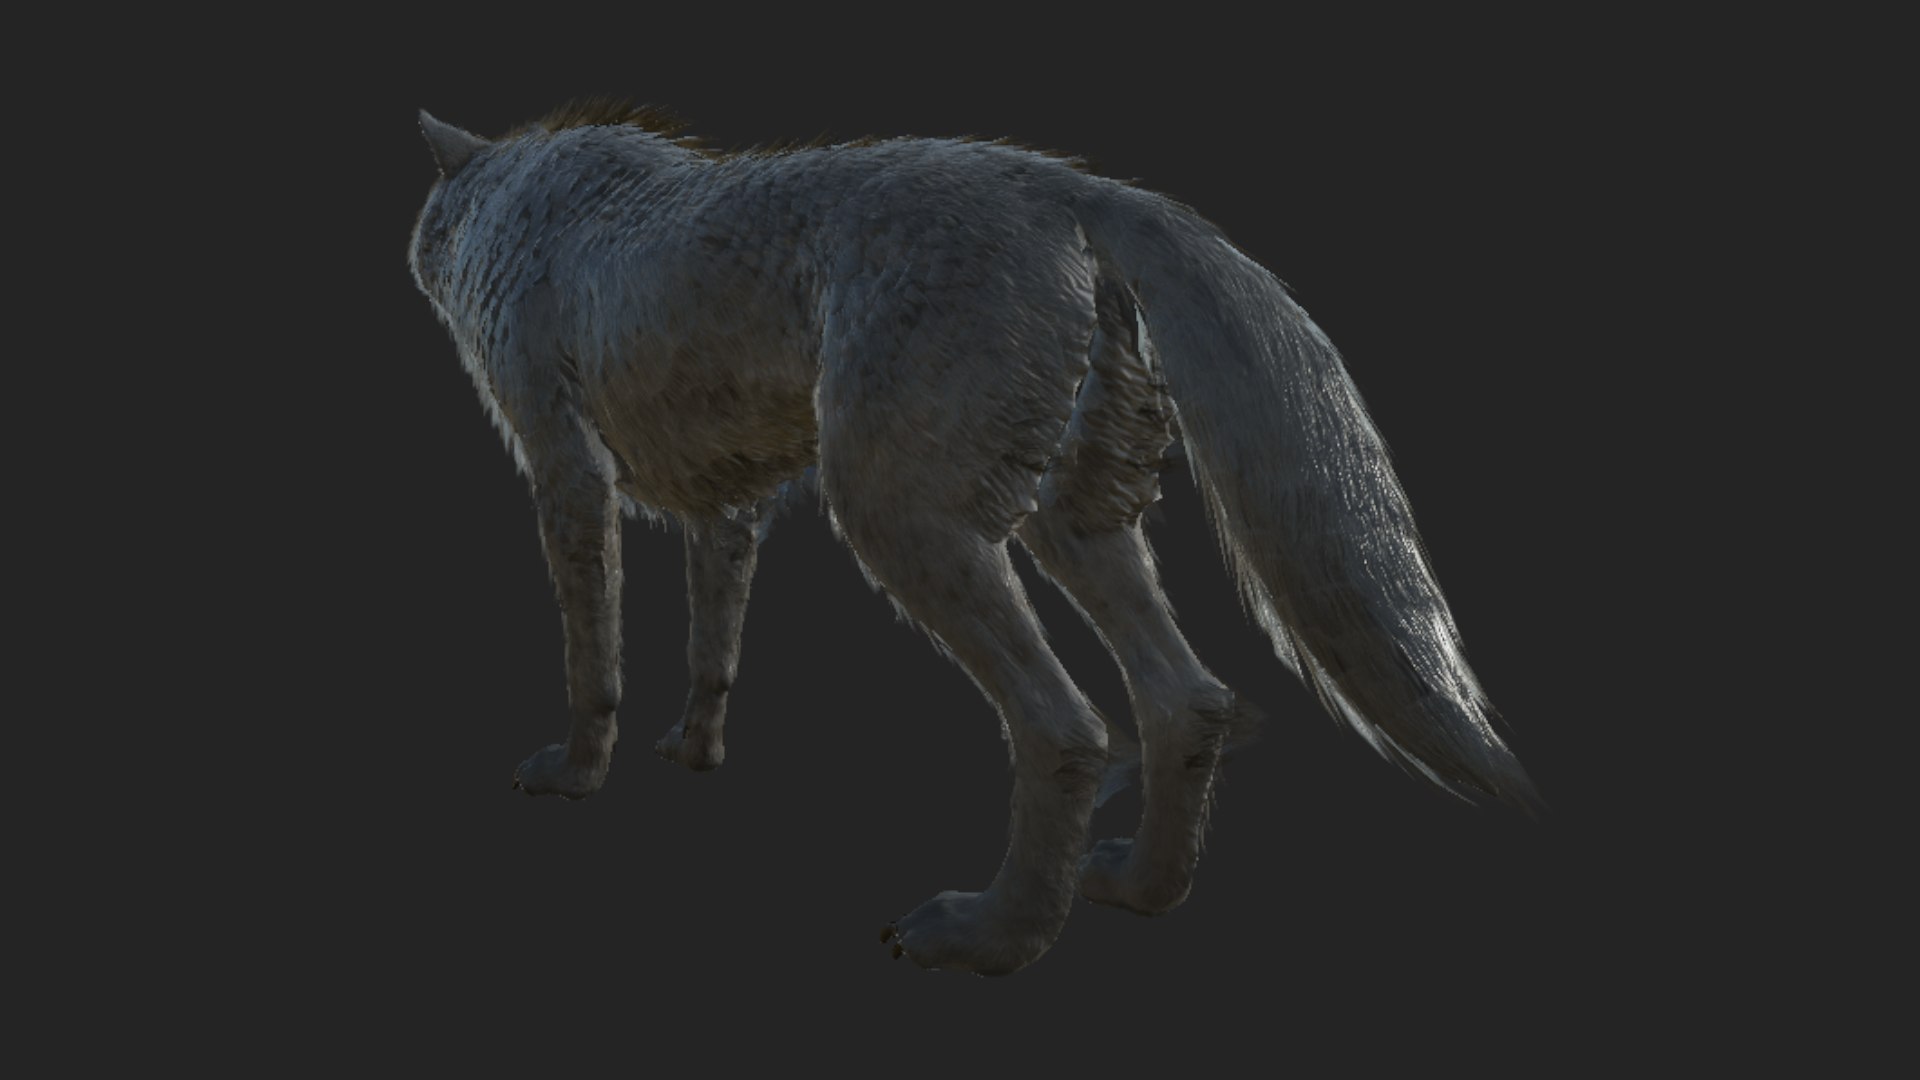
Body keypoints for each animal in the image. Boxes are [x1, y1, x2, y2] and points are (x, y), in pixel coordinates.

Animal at [408, 101, 1539, 976]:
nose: (419, 256)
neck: (508, 197)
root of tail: (1068, 184)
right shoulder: (728, 510)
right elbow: (711, 650)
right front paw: (694, 751)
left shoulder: (565, 470)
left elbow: (592, 653)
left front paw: (573, 773)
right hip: (1070, 526)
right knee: (1188, 698)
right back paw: (1136, 888)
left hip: (900, 516)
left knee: (1070, 727)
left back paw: (984, 939)